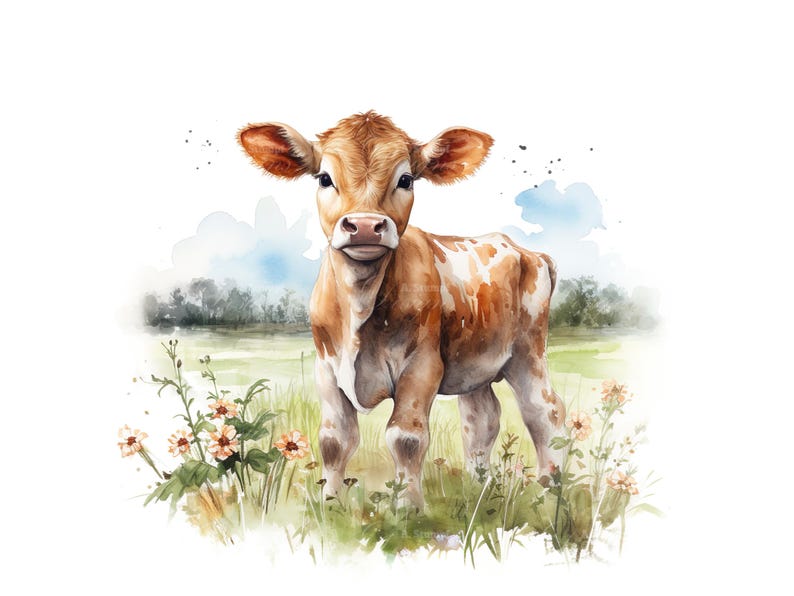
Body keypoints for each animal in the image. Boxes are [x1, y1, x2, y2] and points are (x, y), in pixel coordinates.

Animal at [238, 111, 565, 507]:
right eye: (324, 178)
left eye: (405, 179)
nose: (365, 225)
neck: (359, 306)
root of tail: (526, 251)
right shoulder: (326, 367)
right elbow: (334, 440)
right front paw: (330, 503)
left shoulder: (422, 365)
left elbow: (405, 437)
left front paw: (408, 506)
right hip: (475, 363)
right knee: (481, 420)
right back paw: (479, 489)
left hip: (528, 351)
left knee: (544, 413)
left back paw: (550, 492)